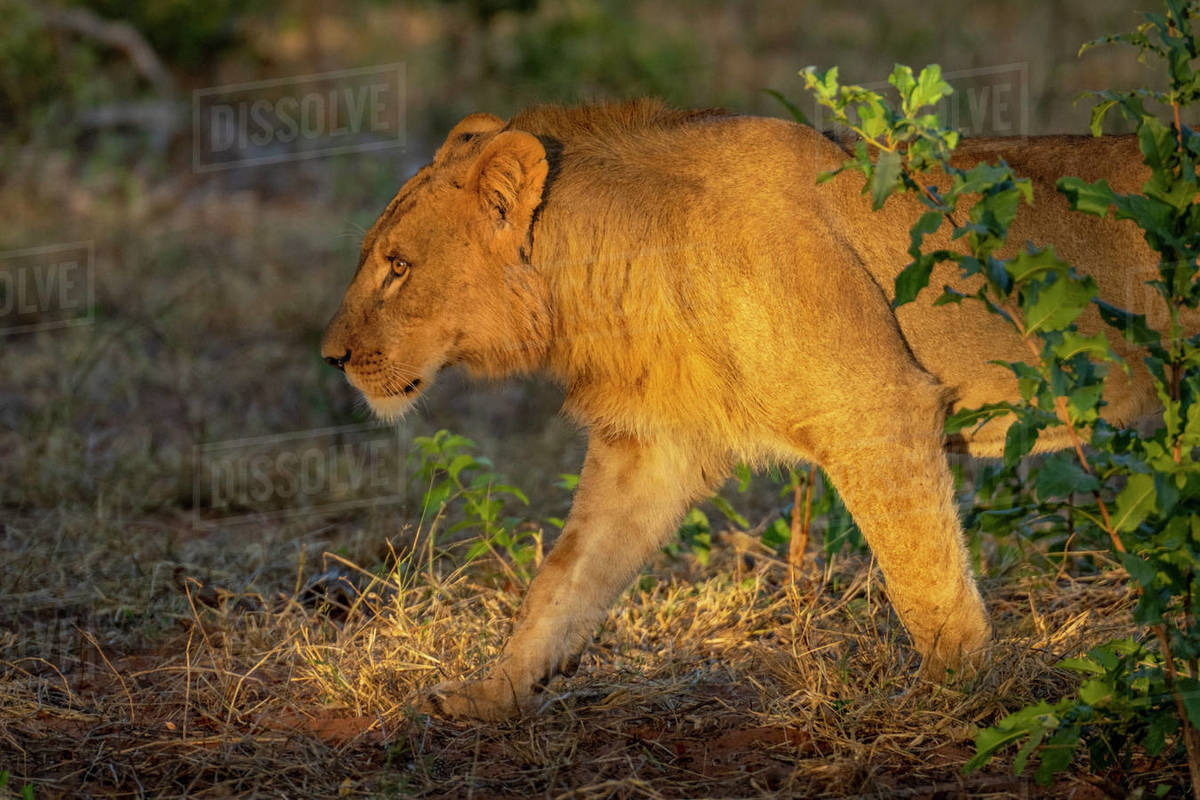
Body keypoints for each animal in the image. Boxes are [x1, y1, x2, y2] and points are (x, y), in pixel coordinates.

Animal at [321, 99, 1163, 721]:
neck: (601, 270)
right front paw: (488, 695)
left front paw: (957, 702)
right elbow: (564, 579)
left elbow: (924, 578)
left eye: (397, 267)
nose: (331, 357)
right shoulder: (652, 448)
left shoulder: (877, 404)